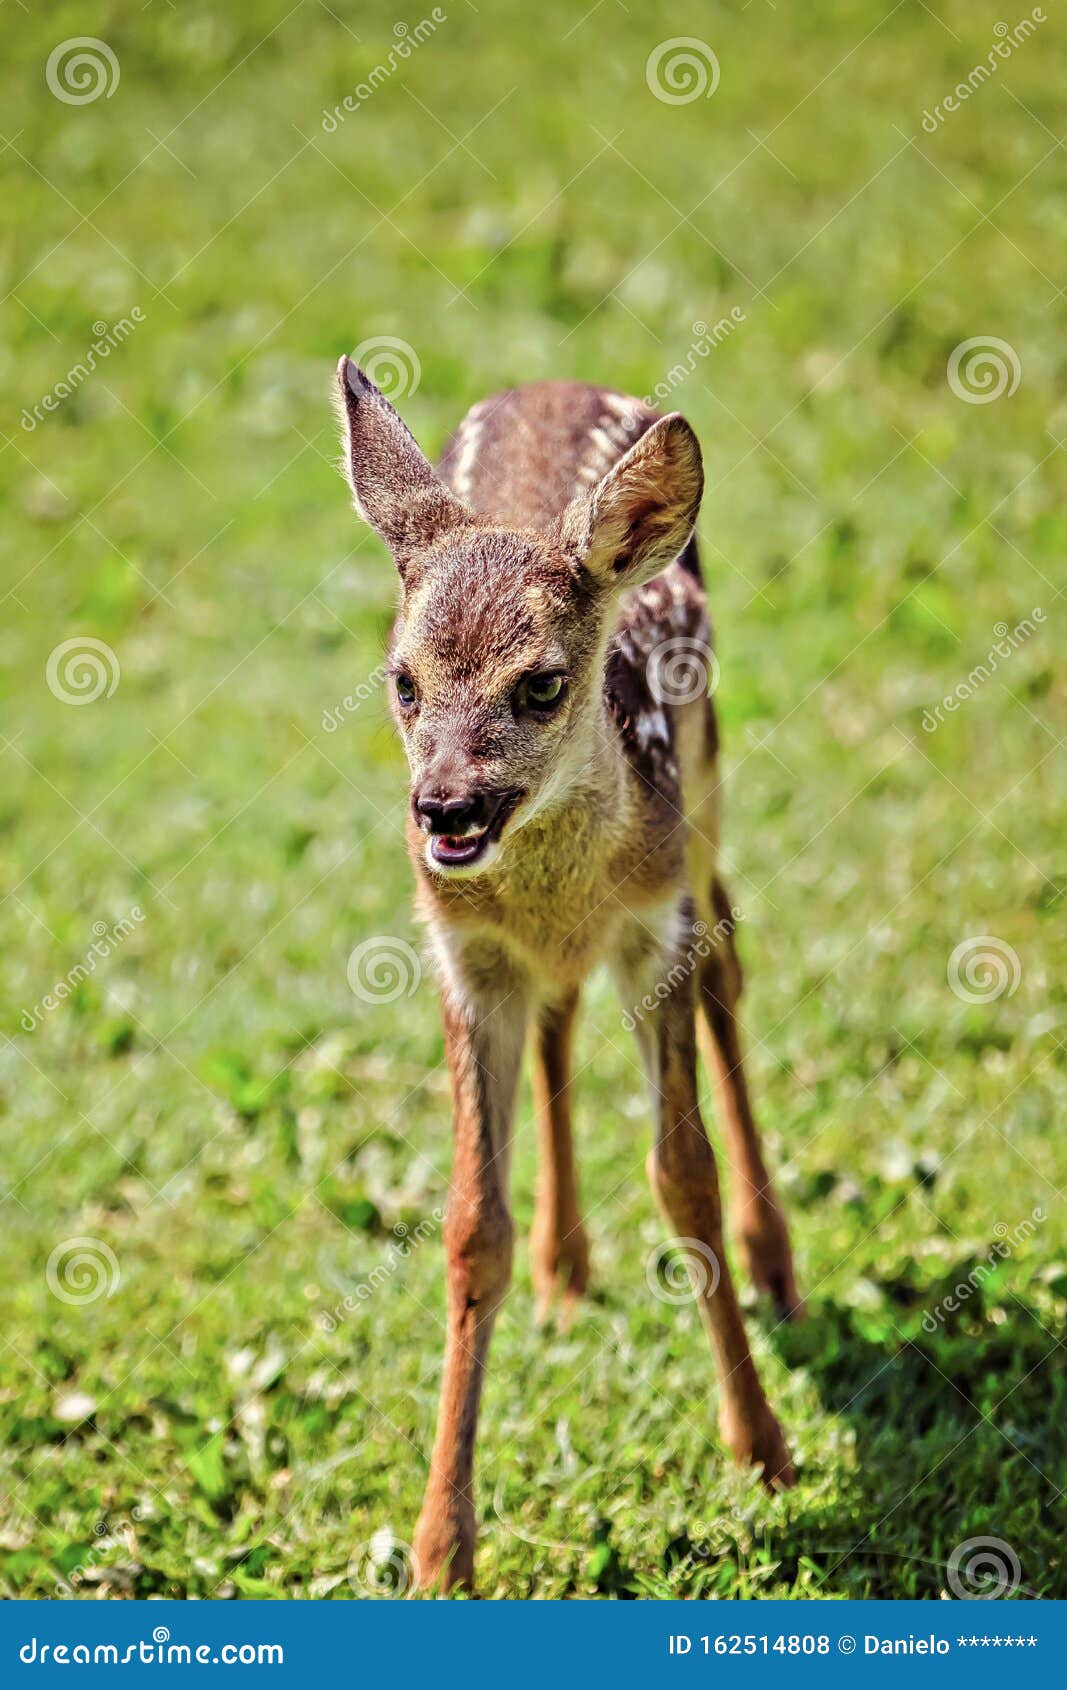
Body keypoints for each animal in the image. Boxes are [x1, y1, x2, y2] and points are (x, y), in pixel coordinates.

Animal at [334, 357, 804, 1592]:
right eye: (403, 682)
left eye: (541, 686)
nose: (443, 807)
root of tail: (555, 377)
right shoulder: (467, 960)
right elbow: (468, 1226)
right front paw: (441, 1548)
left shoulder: (651, 927)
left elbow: (682, 1174)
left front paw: (764, 1447)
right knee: (559, 1020)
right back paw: (563, 1270)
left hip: (707, 794)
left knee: (730, 962)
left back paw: (775, 1262)